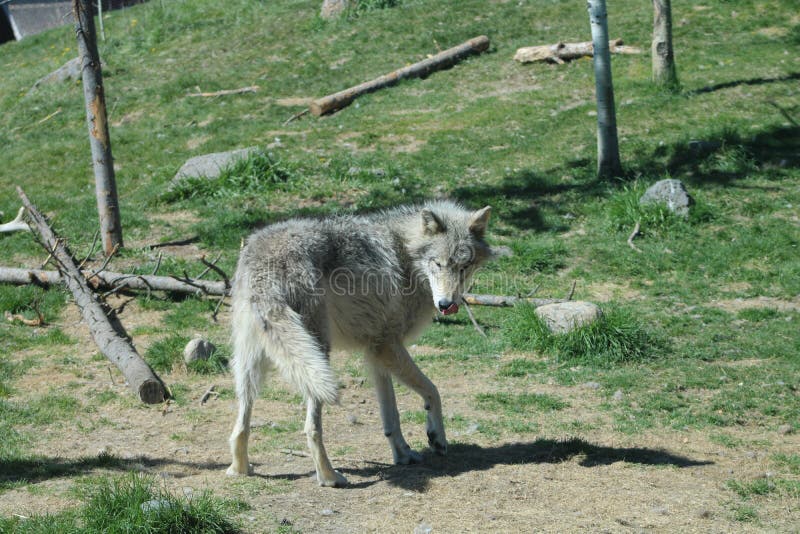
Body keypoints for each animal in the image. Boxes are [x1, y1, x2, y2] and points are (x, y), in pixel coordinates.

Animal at [226, 200, 492, 487]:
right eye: (438, 264)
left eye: (463, 267)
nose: (446, 304)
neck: (405, 255)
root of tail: (263, 259)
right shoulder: (388, 346)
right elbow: (433, 390)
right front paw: (437, 438)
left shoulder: (376, 354)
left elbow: (391, 417)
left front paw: (403, 454)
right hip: (318, 356)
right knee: (311, 428)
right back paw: (330, 477)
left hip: (252, 364)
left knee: (241, 425)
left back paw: (240, 469)